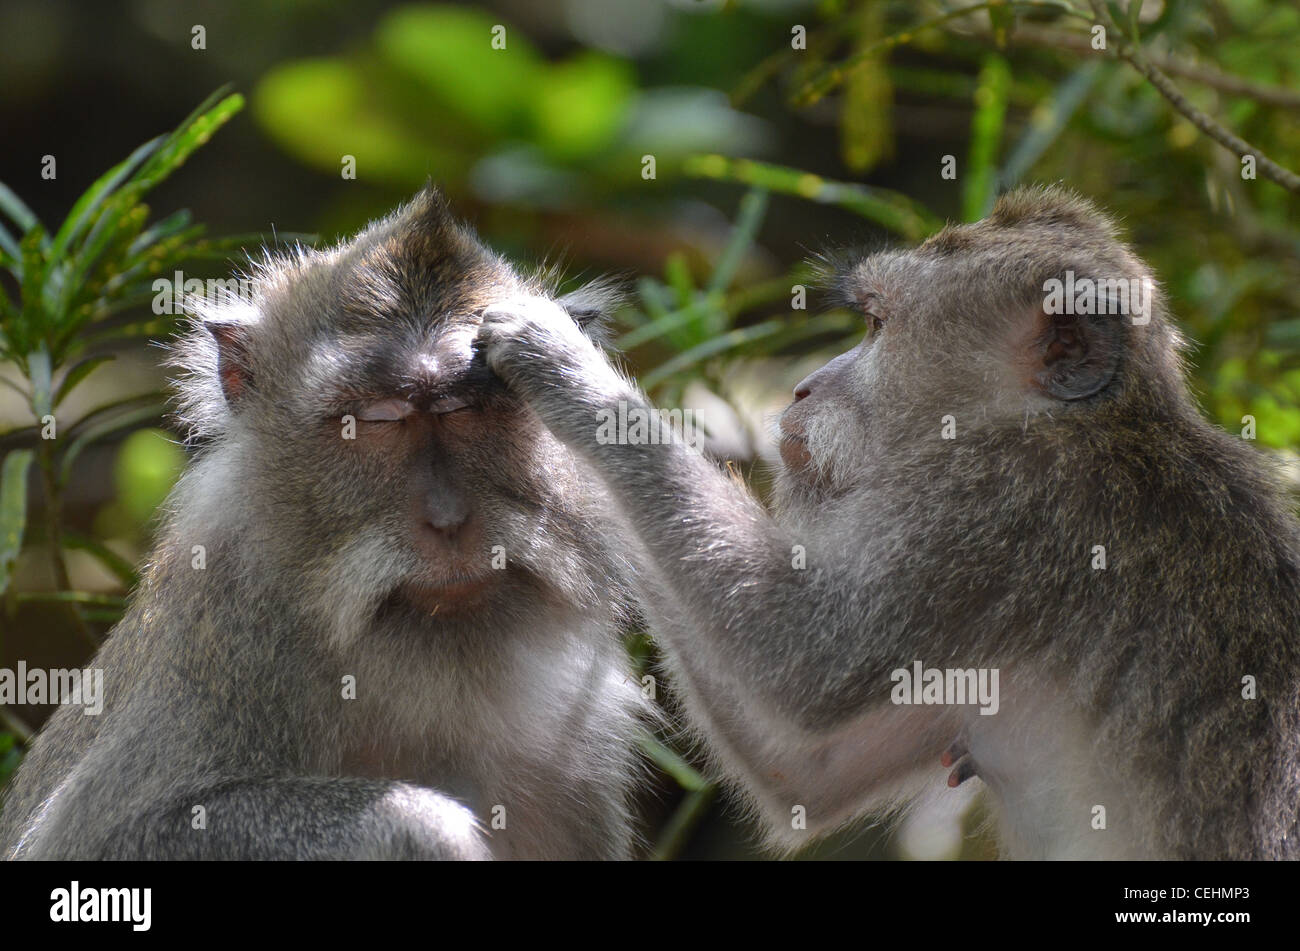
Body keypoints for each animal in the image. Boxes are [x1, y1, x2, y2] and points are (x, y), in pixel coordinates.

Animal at [0, 186, 648, 860]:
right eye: (379, 419)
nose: (448, 520)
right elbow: (101, 838)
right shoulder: (225, 646)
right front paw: (420, 826)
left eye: (465, 408)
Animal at [476, 184, 1300, 860]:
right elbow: (807, 775)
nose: (805, 386)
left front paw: (567, 368)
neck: (1072, 424)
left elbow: (804, 657)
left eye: (876, 325)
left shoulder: (997, 509)